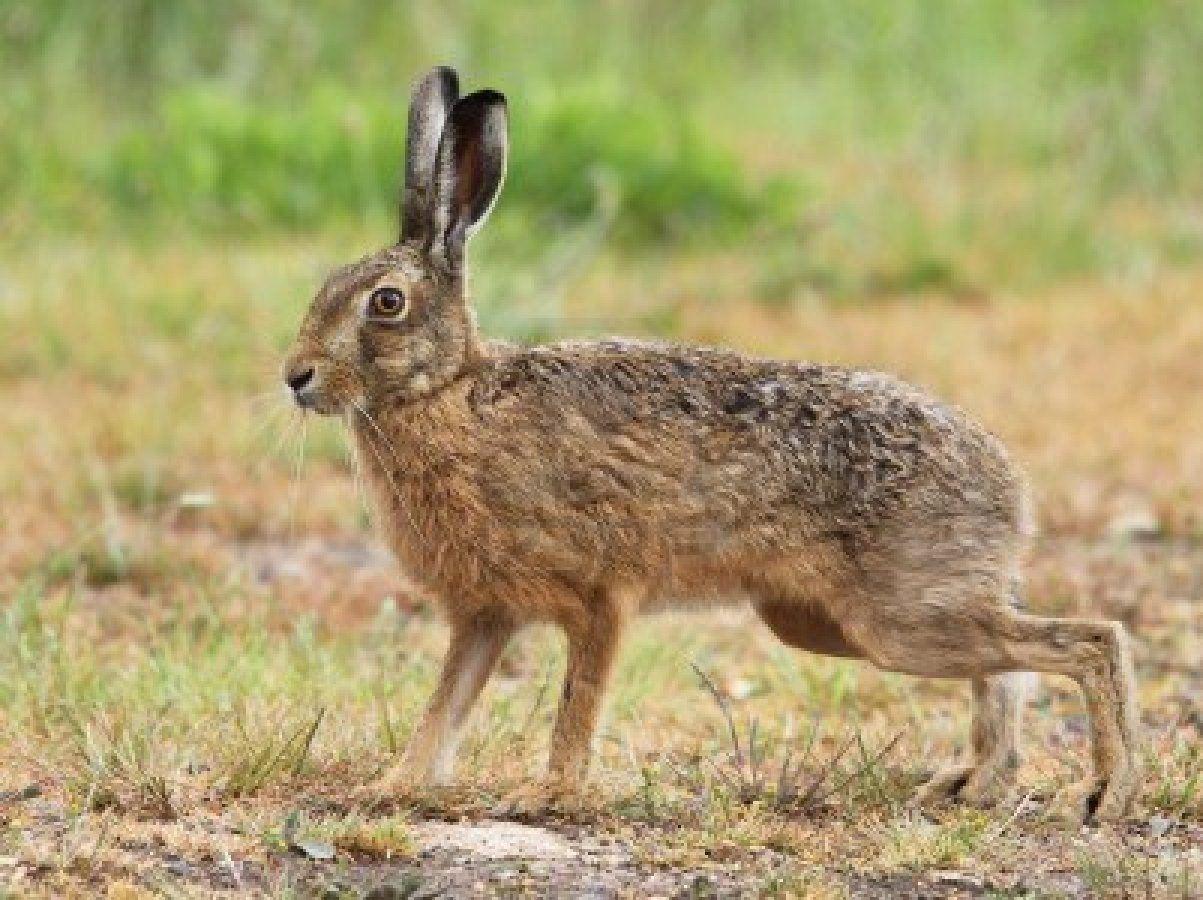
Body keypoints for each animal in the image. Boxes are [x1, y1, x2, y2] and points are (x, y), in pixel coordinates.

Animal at [282, 66, 1140, 822]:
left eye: (385, 304)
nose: (296, 377)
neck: (447, 392)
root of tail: (1009, 491)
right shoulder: (484, 615)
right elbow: (445, 706)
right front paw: (390, 788)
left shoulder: (597, 597)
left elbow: (575, 701)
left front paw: (546, 797)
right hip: (830, 622)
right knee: (1008, 669)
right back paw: (974, 782)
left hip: (900, 616)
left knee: (1089, 642)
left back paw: (1104, 791)